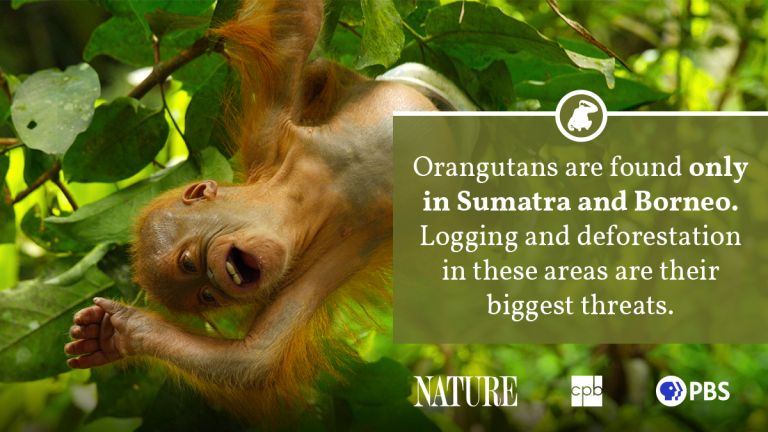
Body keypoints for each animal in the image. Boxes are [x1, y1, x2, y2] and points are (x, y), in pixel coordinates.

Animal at [64, 0, 449, 422]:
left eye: (189, 264)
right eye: (206, 299)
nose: (219, 281)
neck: (307, 202)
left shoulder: (272, 136)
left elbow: (295, 30)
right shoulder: (329, 260)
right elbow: (256, 360)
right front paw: (120, 332)